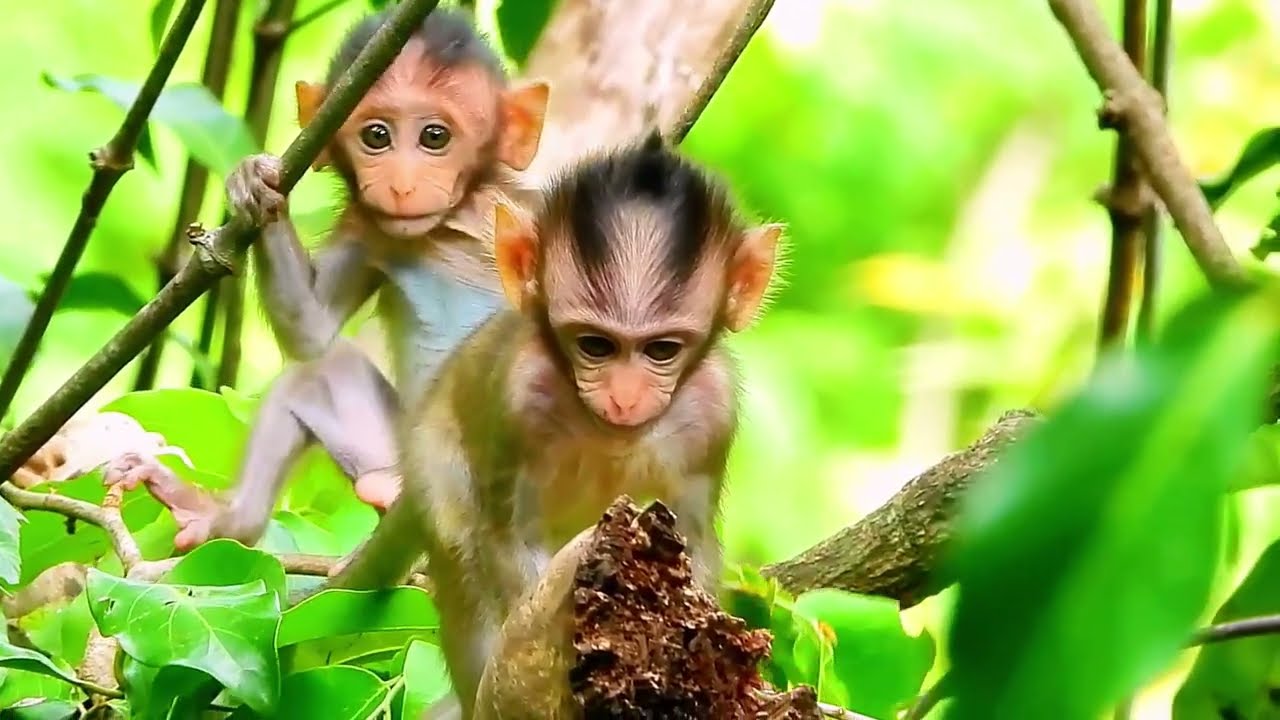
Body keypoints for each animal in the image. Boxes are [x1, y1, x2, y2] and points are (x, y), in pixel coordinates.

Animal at [104, 7, 550, 552]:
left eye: (435, 137)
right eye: (376, 136)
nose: (402, 185)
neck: (442, 230)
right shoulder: (366, 228)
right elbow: (311, 334)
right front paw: (255, 185)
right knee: (313, 374)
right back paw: (226, 517)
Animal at [331, 132, 783, 718]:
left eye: (662, 350)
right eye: (595, 345)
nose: (623, 398)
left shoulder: (714, 414)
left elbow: (697, 545)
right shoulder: (518, 401)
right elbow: (508, 541)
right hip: (435, 460)